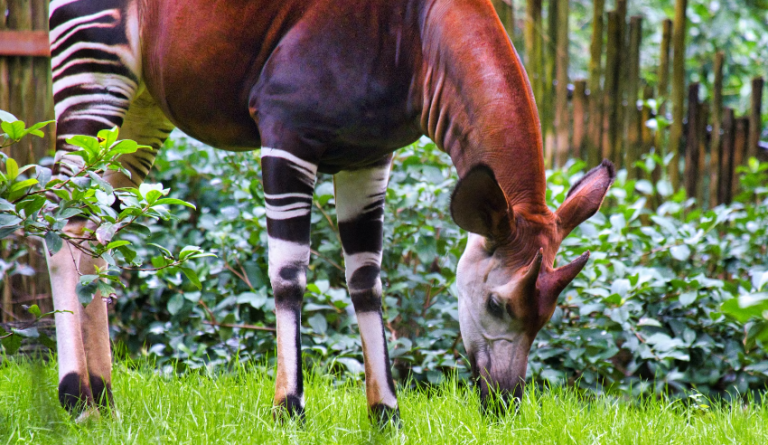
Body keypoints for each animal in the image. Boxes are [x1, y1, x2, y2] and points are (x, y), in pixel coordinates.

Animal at [46, 0, 614, 423]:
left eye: (547, 316)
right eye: (498, 304)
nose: (504, 403)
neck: (420, 41)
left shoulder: (369, 156)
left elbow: (367, 281)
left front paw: (385, 412)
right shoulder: (286, 133)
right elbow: (289, 274)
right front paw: (288, 407)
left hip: (141, 105)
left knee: (93, 234)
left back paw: (103, 398)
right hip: (91, 64)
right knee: (62, 220)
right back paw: (74, 396)